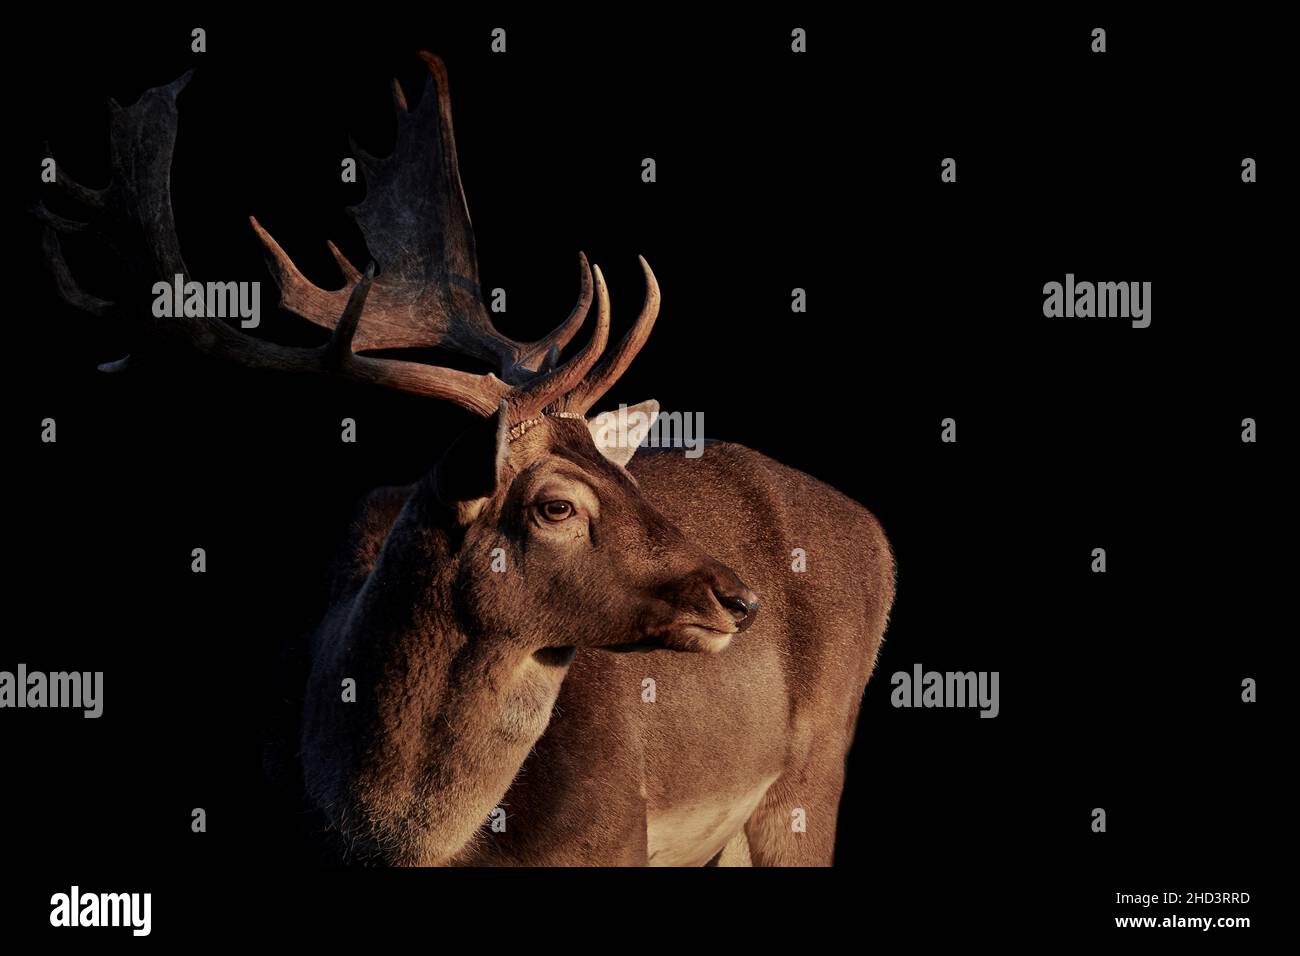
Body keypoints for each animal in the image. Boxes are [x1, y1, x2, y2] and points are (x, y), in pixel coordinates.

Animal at [37, 52, 896, 866]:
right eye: (557, 504)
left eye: (623, 472)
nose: (740, 599)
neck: (402, 844)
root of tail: (878, 536)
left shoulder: (617, 835)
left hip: (811, 775)